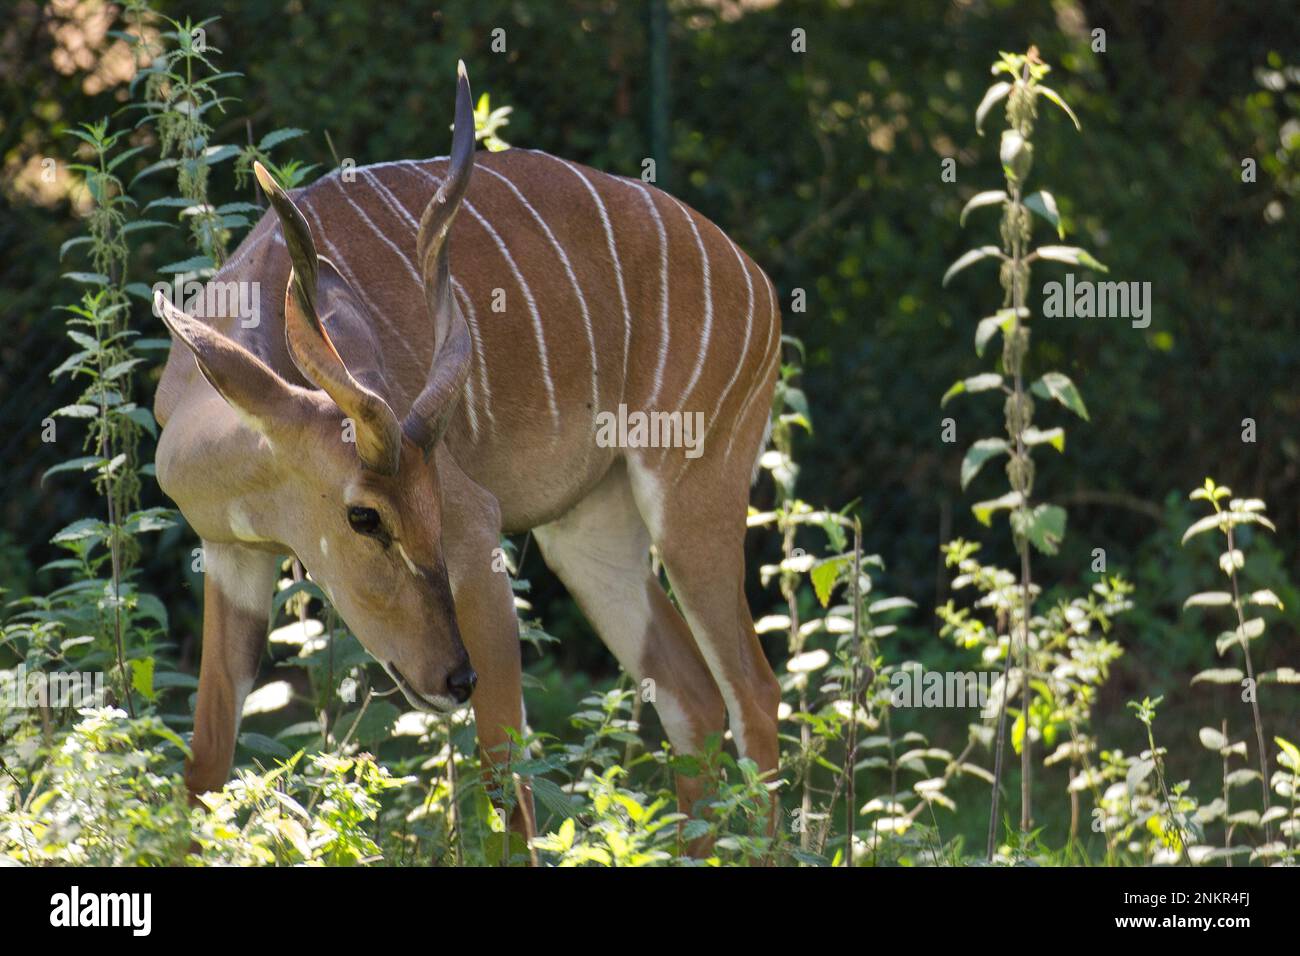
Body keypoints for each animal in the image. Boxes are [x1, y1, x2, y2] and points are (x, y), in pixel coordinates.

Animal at [153, 63, 783, 833]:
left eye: (433, 506)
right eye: (364, 516)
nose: (453, 678)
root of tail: (758, 282)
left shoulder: (478, 531)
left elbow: (506, 771)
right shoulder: (231, 554)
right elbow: (204, 766)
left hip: (695, 494)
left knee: (753, 690)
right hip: (587, 533)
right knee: (693, 695)